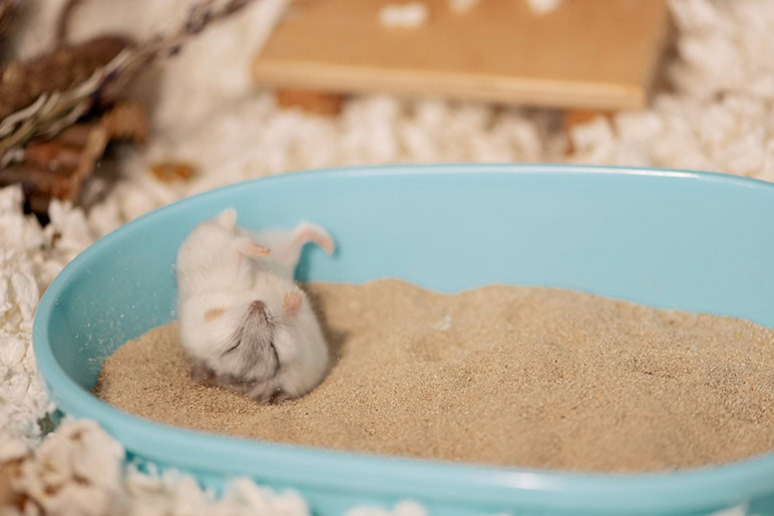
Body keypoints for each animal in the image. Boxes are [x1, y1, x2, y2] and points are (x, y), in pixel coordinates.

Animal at [176, 208, 335, 403]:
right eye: (234, 345)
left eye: (273, 348)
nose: (258, 303)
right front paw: (293, 297)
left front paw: (290, 296)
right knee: (236, 246)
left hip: (281, 250)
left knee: (298, 234)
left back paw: (328, 246)